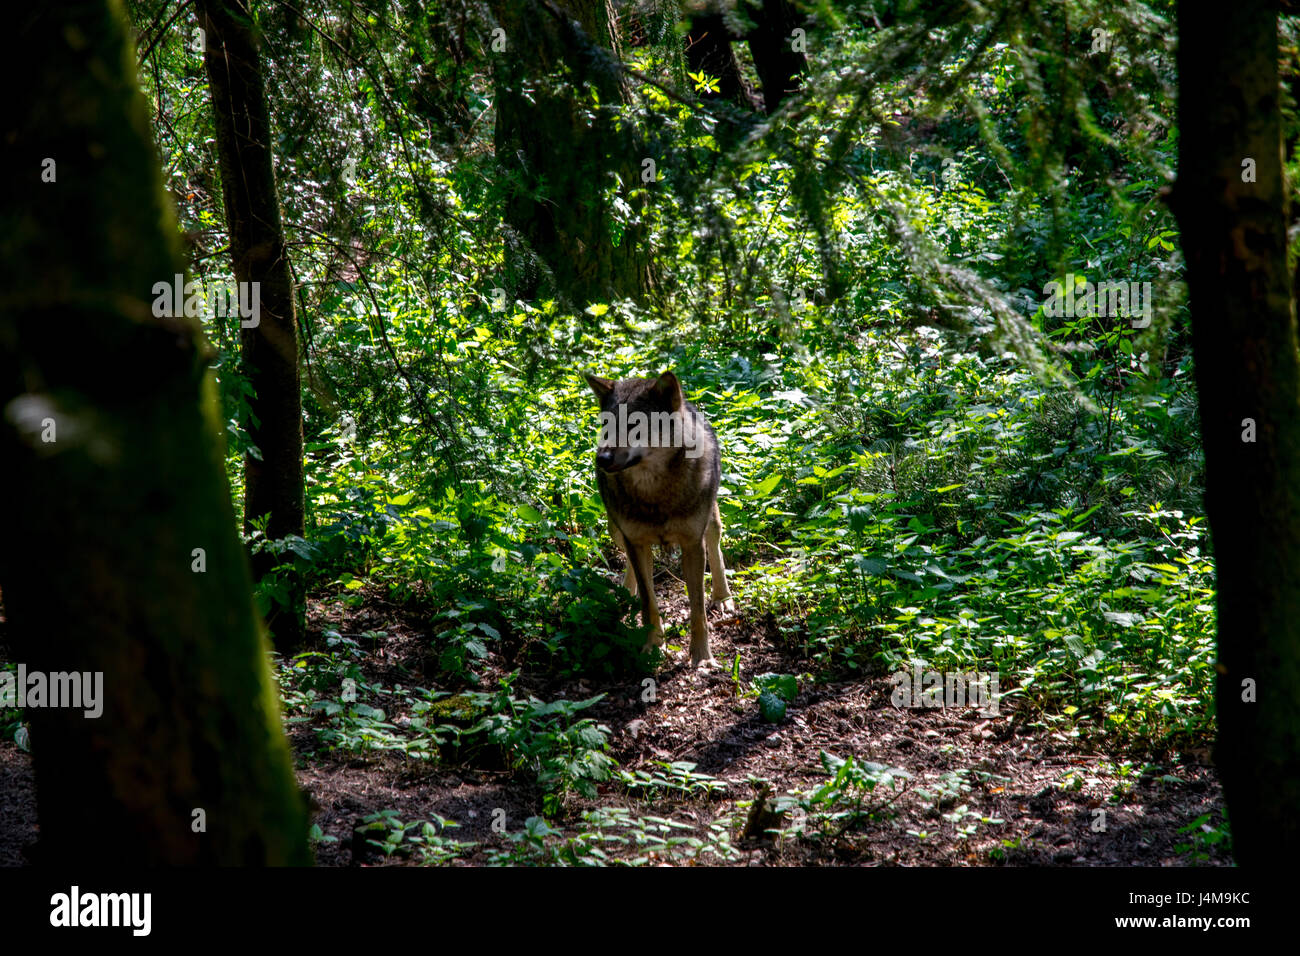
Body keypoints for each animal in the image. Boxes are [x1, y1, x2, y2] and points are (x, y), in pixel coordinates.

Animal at [585, 371, 735, 665]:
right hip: (615, 530)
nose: (601, 458)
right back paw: (626, 594)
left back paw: (722, 597)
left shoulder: (692, 544)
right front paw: (653, 646)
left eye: (634, 425)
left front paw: (702, 657)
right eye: (606, 425)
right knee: (635, 569)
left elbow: (698, 609)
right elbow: (649, 603)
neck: (655, 493)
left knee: (716, 546)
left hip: (709, 521)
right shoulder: (635, 541)